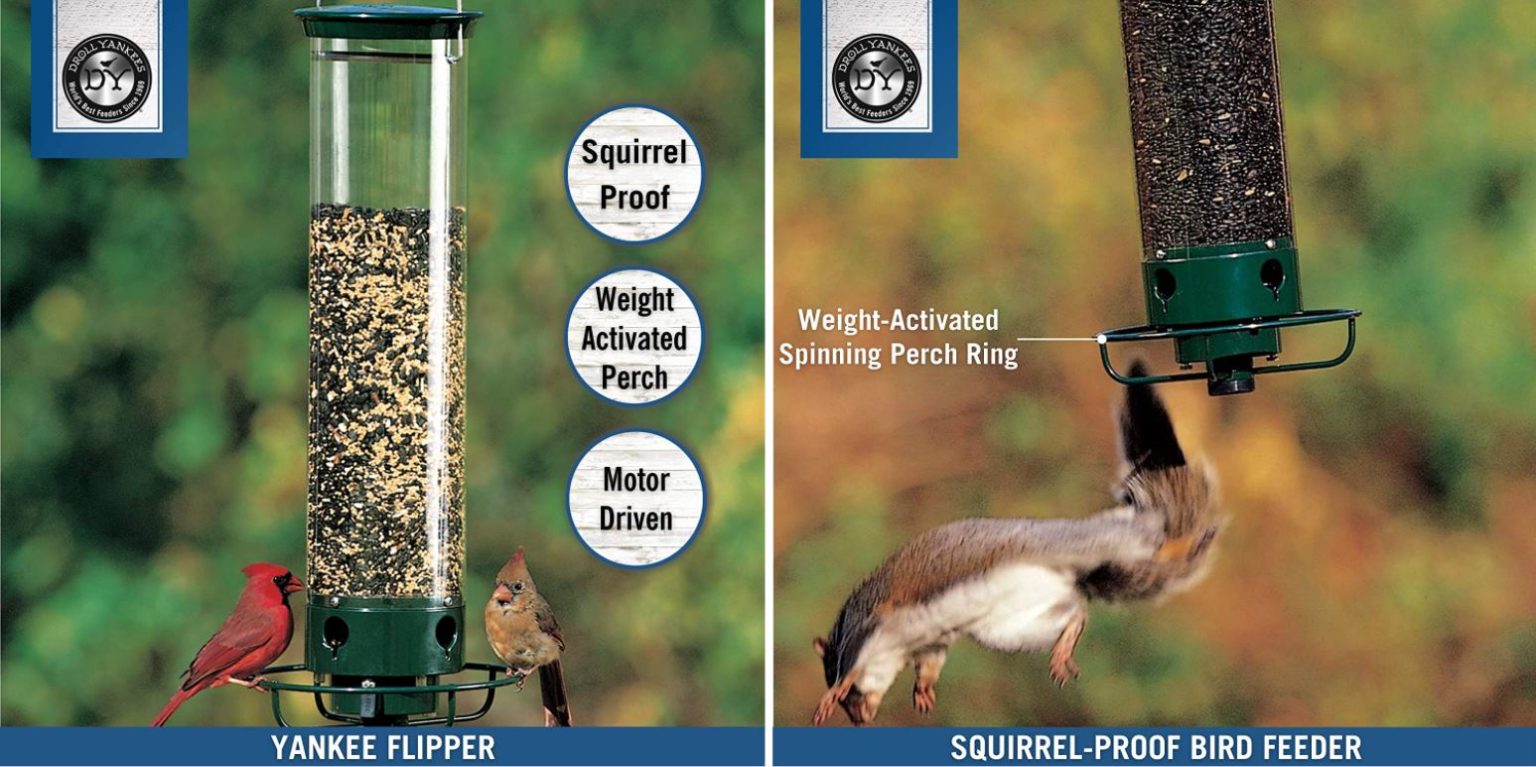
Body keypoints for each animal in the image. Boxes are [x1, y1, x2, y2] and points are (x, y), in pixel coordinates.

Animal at [812, 362, 1222, 725]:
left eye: (849, 695)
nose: (860, 720)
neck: (895, 647)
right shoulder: (930, 645)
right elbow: (929, 666)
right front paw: (923, 692)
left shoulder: (870, 624)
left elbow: (853, 665)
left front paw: (834, 693)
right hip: (1011, 628)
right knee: (1075, 611)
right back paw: (1064, 646)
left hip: (1094, 546)